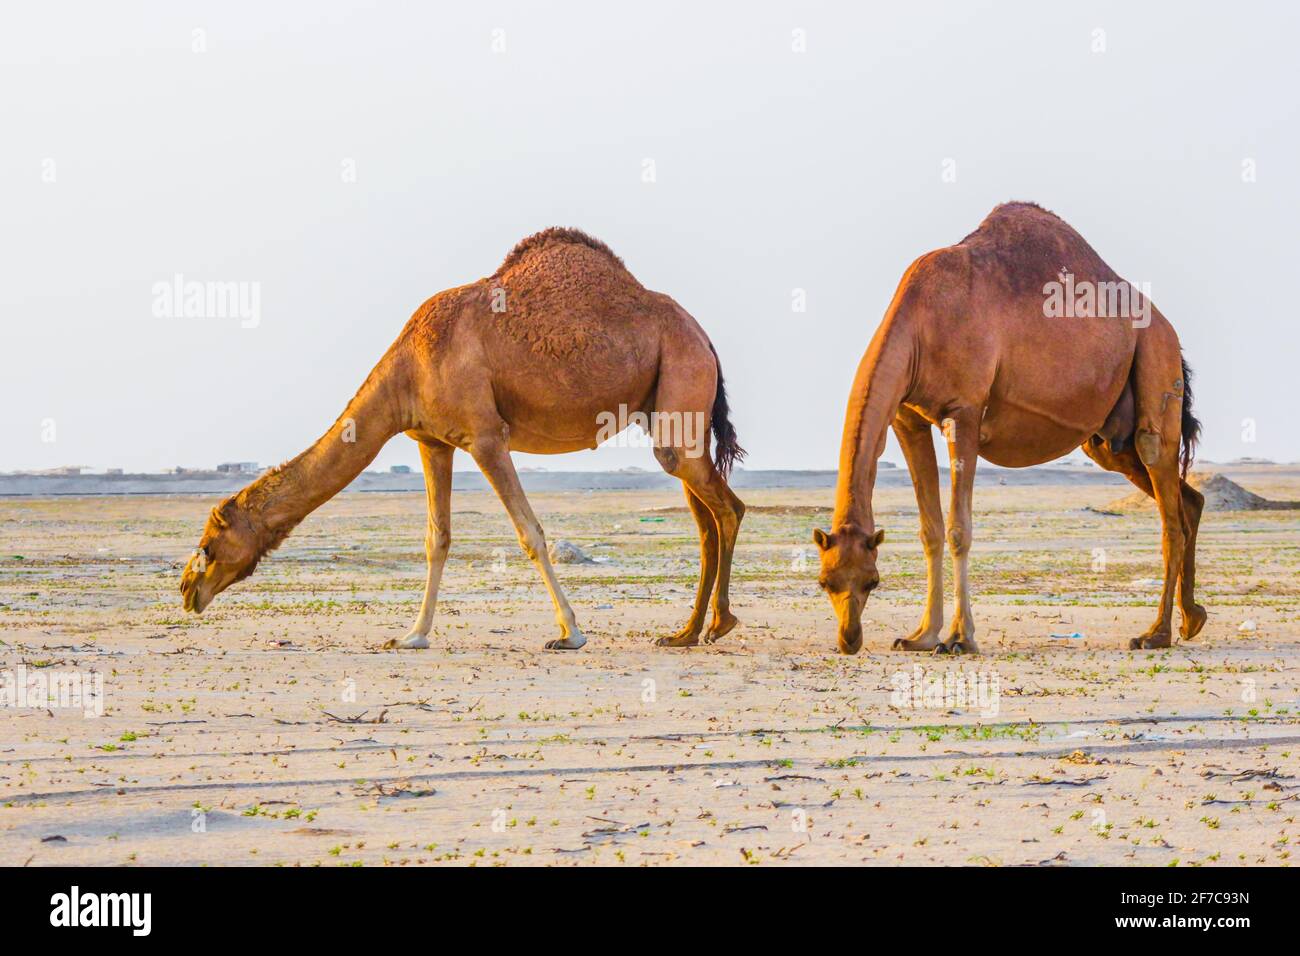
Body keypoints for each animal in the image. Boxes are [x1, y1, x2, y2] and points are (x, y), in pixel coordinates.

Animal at [180, 228, 746, 650]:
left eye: (209, 545)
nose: (187, 589)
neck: (408, 367)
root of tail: (705, 338)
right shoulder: (433, 441)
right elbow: (438, 538)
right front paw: (411, 636)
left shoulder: (486, 436)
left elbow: (530, 533)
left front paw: (571, 633)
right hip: (669, 411)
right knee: (703, 516)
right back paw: (685, 632)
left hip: (681, 374)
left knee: (726, 507)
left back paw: (720, 624)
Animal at [814, 202, 1203, 655]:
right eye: (824, 581)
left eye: (873, 582)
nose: (849, 639)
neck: (920, 325)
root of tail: (1169, 331)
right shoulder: (907, 417)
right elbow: (930, 530)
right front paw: (920, 637)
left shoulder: (964, 411)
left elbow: (958, 528)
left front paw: (960, 638)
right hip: (1108, 441)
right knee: (1187, 499)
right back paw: (1192, 619)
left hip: (1155, 363)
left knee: (1165, 496)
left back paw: (1155, 633)